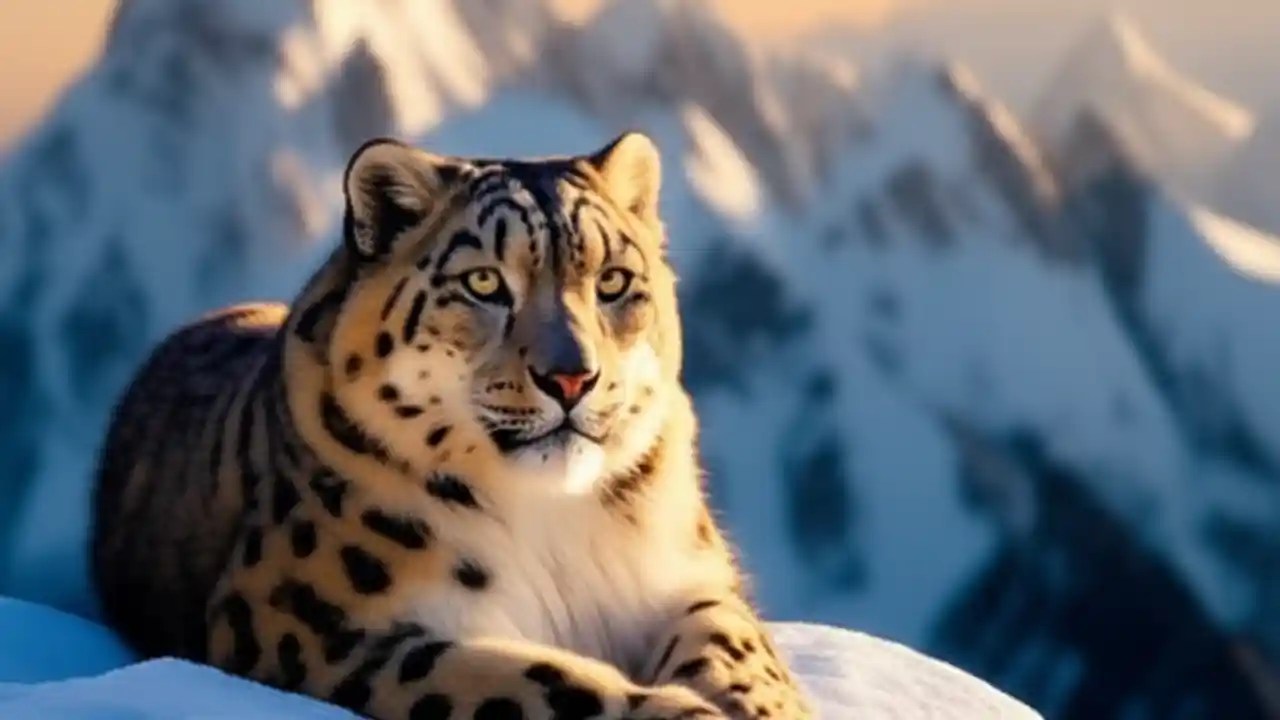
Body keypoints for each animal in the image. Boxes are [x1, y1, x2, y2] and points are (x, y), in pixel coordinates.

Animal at [91, 132, 812, 720]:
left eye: (612, 281)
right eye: (485, 283)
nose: (571, 378)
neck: (555, 523)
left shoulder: (691, 578)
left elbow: (736, 644)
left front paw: (762, 705)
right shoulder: (313, 625)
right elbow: (529, 679)